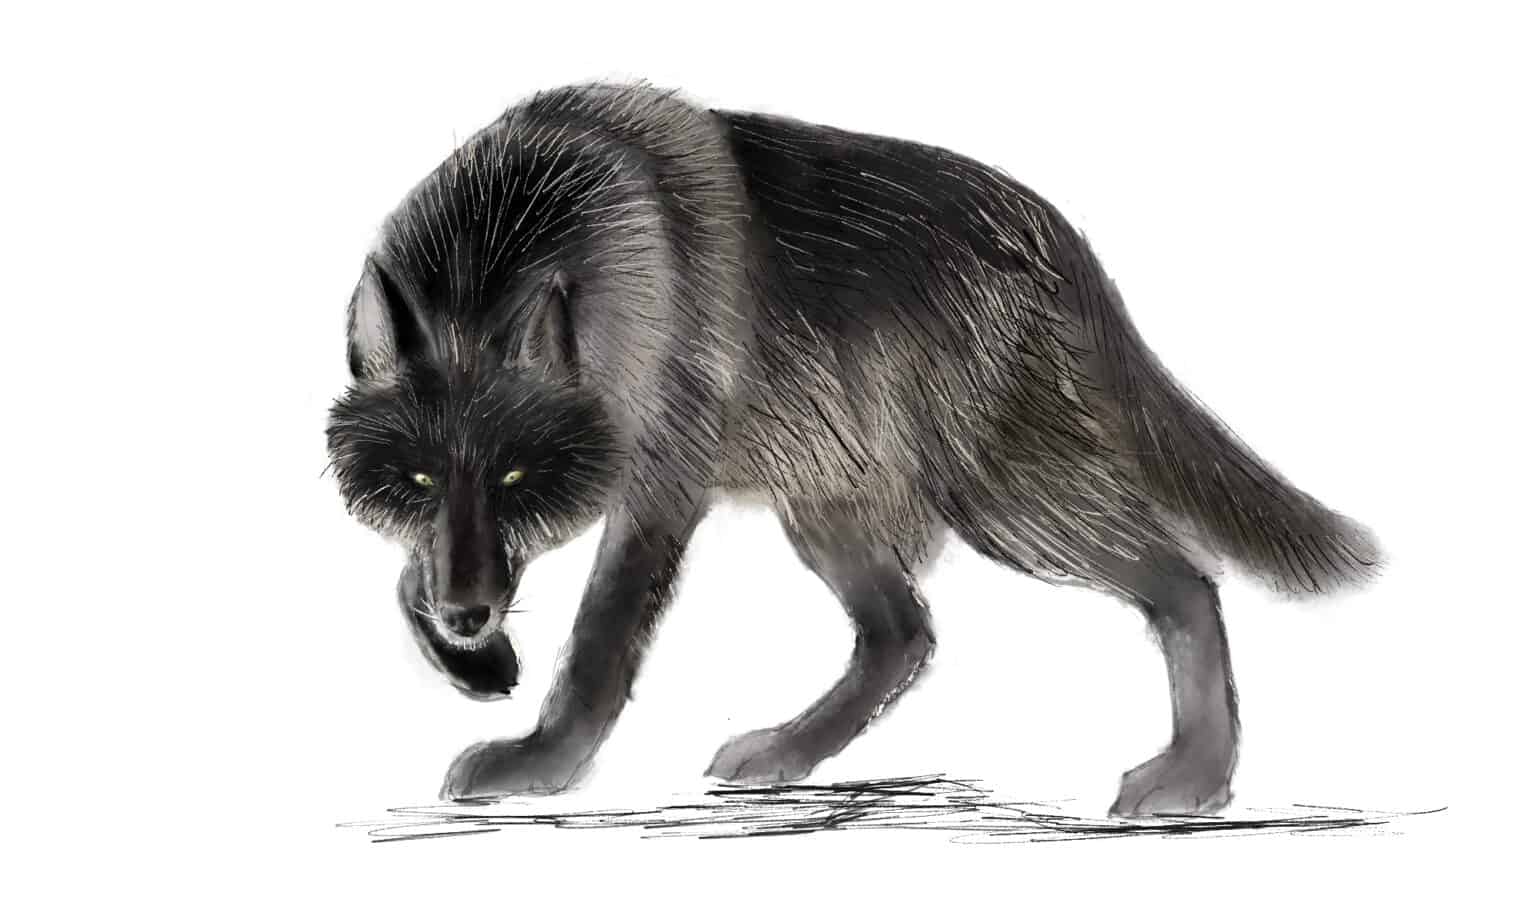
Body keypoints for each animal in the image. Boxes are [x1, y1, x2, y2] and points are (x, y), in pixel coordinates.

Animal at [325, 82, 1380, 816]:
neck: (518, 234)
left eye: (516, 475)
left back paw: (1196, 777)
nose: (471, 618)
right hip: (828, 509)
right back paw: (785, 755)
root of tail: (1047, 224)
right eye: (418, 479)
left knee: (1187, 581)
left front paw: (541, 763)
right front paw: (477, 663)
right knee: (904, 634)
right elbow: (410, 579)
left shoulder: (657, 494)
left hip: (1005, 501)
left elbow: (598, 646)